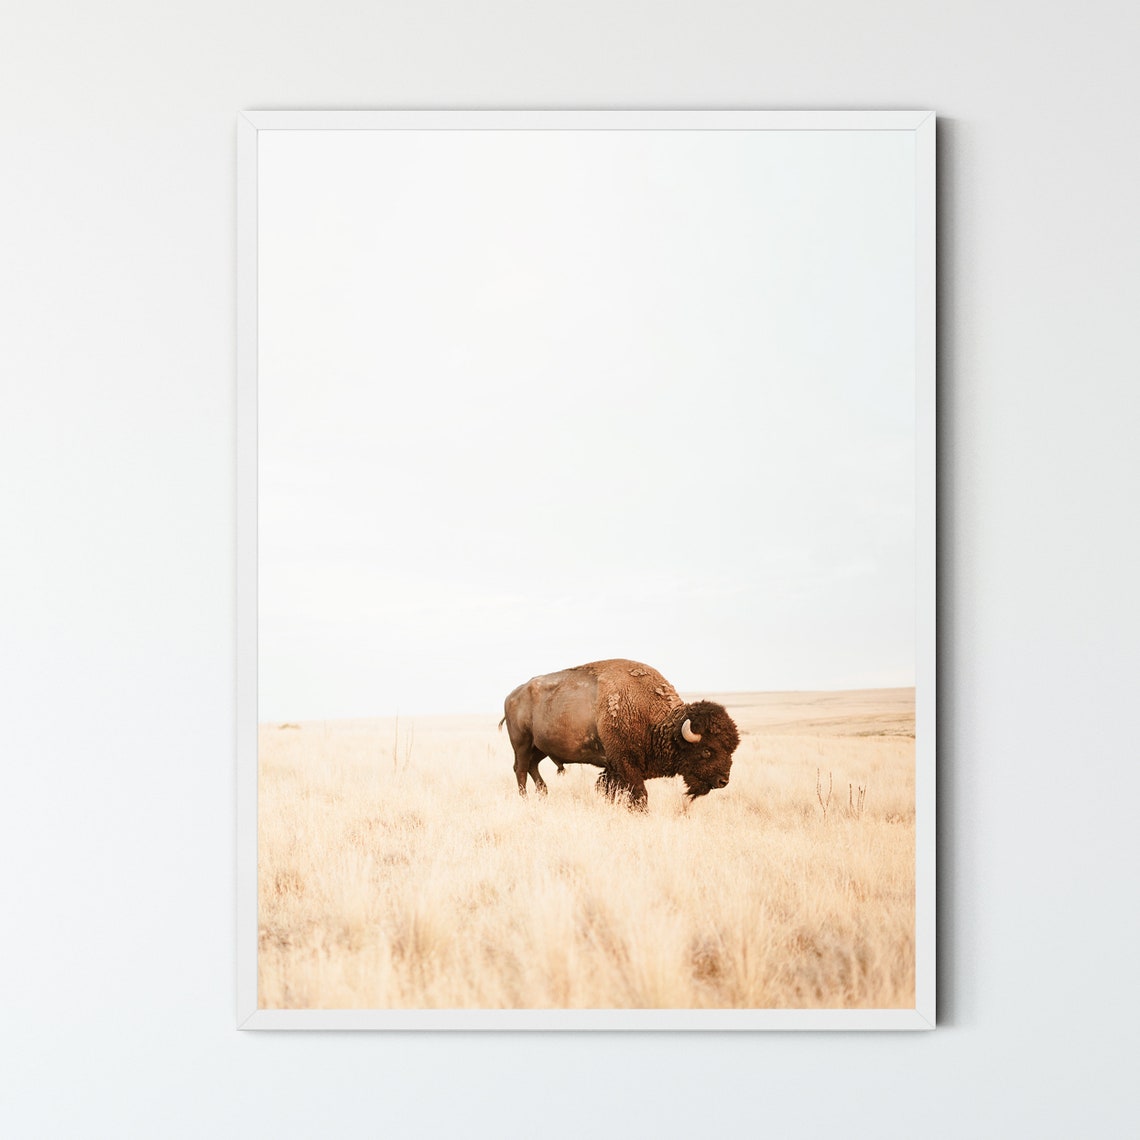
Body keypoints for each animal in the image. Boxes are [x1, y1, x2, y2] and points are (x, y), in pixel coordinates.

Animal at [500, 659, 740, 809]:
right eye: (707, 751)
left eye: (731, 750)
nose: (723, 781)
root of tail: (512, 695)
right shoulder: (625, 764)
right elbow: (639, 794)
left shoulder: (614, 768)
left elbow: (610, 790)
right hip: (522, 743)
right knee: (520, 770)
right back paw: (526, 799)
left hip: (540, 748)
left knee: (532, 767)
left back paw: (543, 794)